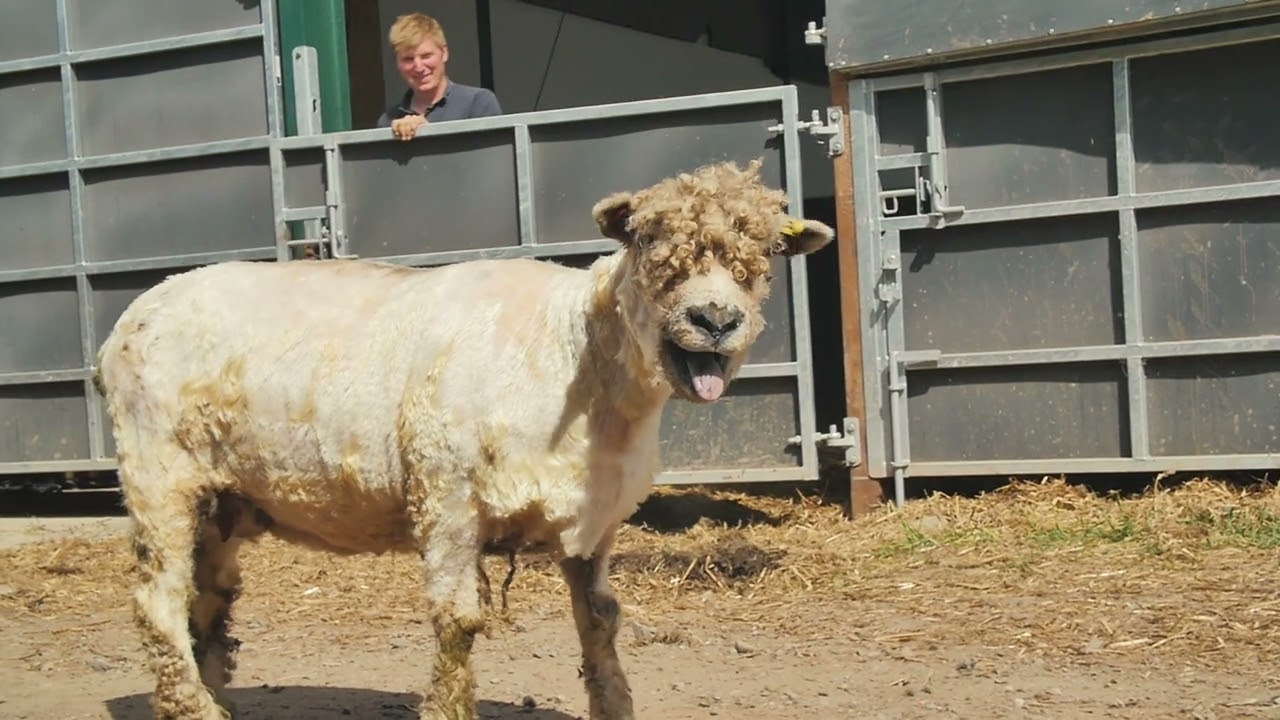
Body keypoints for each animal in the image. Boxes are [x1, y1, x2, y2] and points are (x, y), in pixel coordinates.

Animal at [94, 158, 834, 720]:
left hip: (220, 497)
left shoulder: (594, 519)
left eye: (764, 254)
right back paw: (192, 706)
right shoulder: (445, 496)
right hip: (158, 474)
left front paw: (615, 704)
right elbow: (459, 624)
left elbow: (602, 618)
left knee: (207, 603)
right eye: (651, 243)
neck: (573, 350)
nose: (715, 319)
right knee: (156, 603)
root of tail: (130, 318)